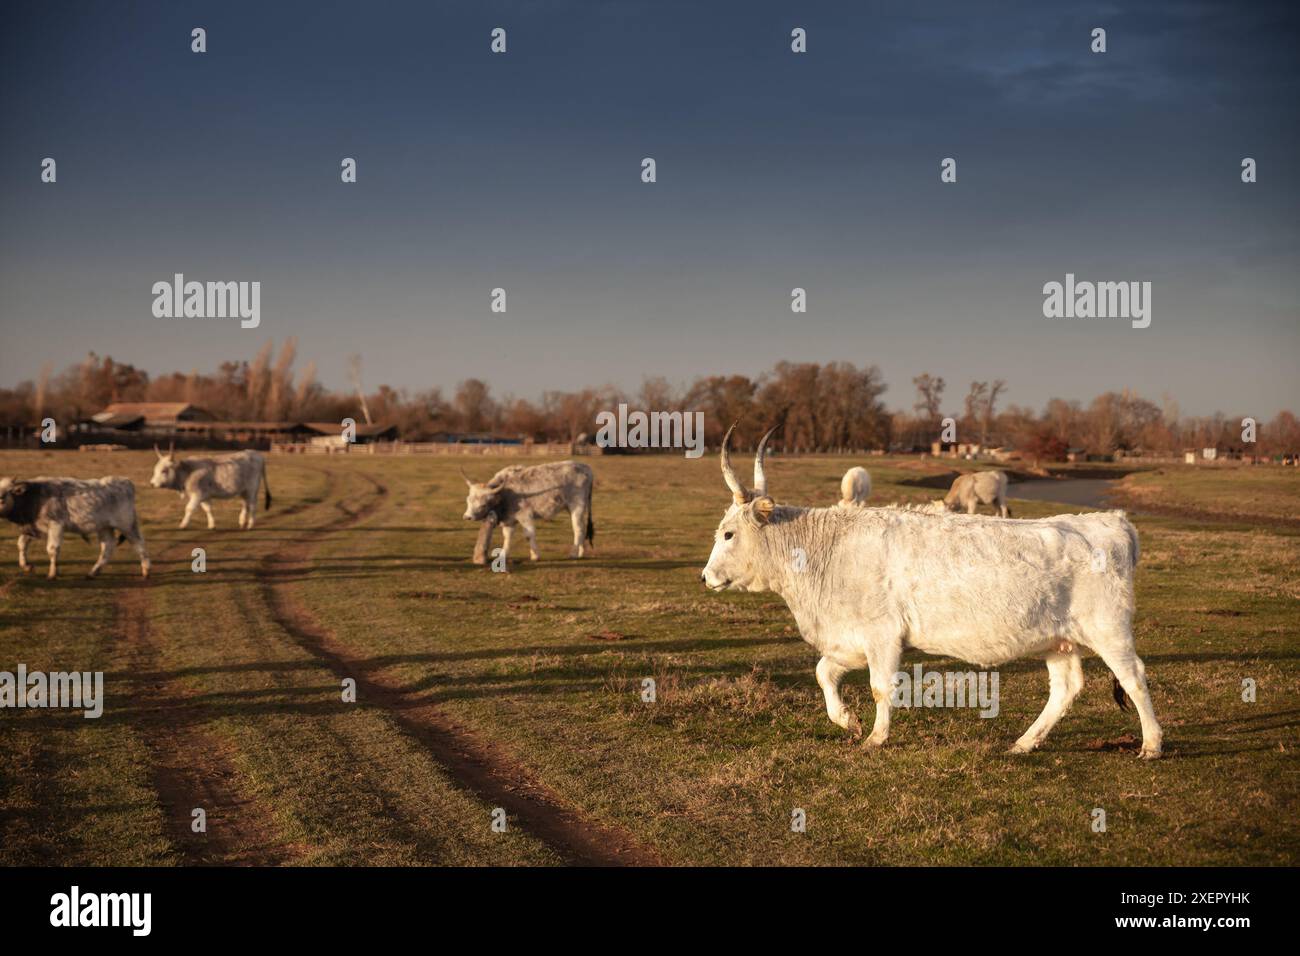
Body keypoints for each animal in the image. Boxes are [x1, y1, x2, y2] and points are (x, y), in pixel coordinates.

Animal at [0, 476, 150, 579]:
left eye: (4, 495)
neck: (34, 496)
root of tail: (125, 481)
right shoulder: (33, 527)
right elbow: (21, 544)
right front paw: (26, 566)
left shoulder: (56, 525)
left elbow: (52, 549)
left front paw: (52, 573)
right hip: (105, 527)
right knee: (107, 547)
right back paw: (93, 572)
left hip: (127, 525)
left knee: (139, 543)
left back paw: (146, 570)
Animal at [462, 460, 594, 565]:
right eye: (468, 500)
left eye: (483, 504)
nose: (467, 517)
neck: (505, 493)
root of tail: (585, 468)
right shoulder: (509, 520)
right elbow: (507, 537)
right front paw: (504, 554)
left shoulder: (525, 516)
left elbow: (529, 535)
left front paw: (535, 556)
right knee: (582, 528)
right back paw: (580, 552)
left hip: (577, 506)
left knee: (578, 529)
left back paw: (574, 553)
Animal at [700, 425, 1161, 758]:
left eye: (728, 533)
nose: (705, 577)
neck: (826, 551)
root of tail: (1111, 519)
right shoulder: (850, 638)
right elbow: (823, 672)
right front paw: (846, 720)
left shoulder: (883, 636)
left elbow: (880, 687)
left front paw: (875, 737)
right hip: (1057, 639)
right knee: (1066, 688)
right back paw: (1025, 742)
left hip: (1108, 628)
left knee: (1133, 676)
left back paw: (1152, 744)